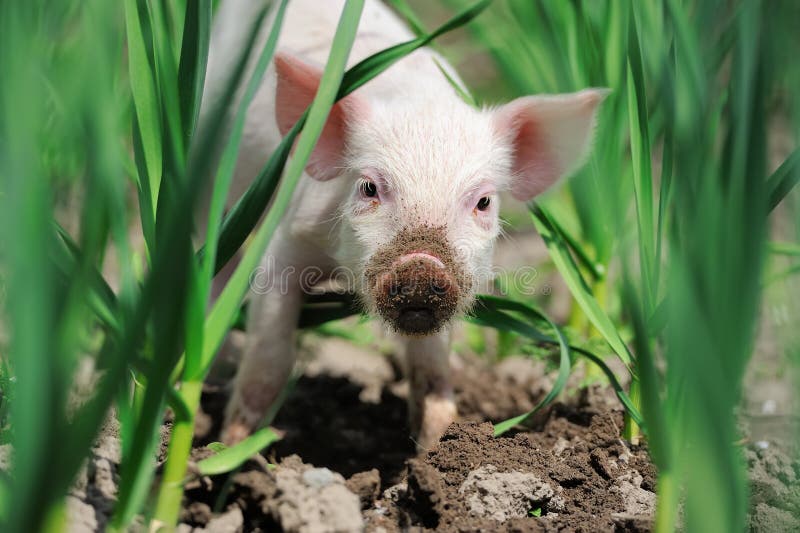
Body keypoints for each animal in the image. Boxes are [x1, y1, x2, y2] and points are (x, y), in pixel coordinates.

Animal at [203, 0, 605, 449]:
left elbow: (430, 371)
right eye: (368, 187)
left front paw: (434, 447)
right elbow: (269, 355)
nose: (421, 266)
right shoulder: (288, 238)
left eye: (483, 201)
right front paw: (233, 446)